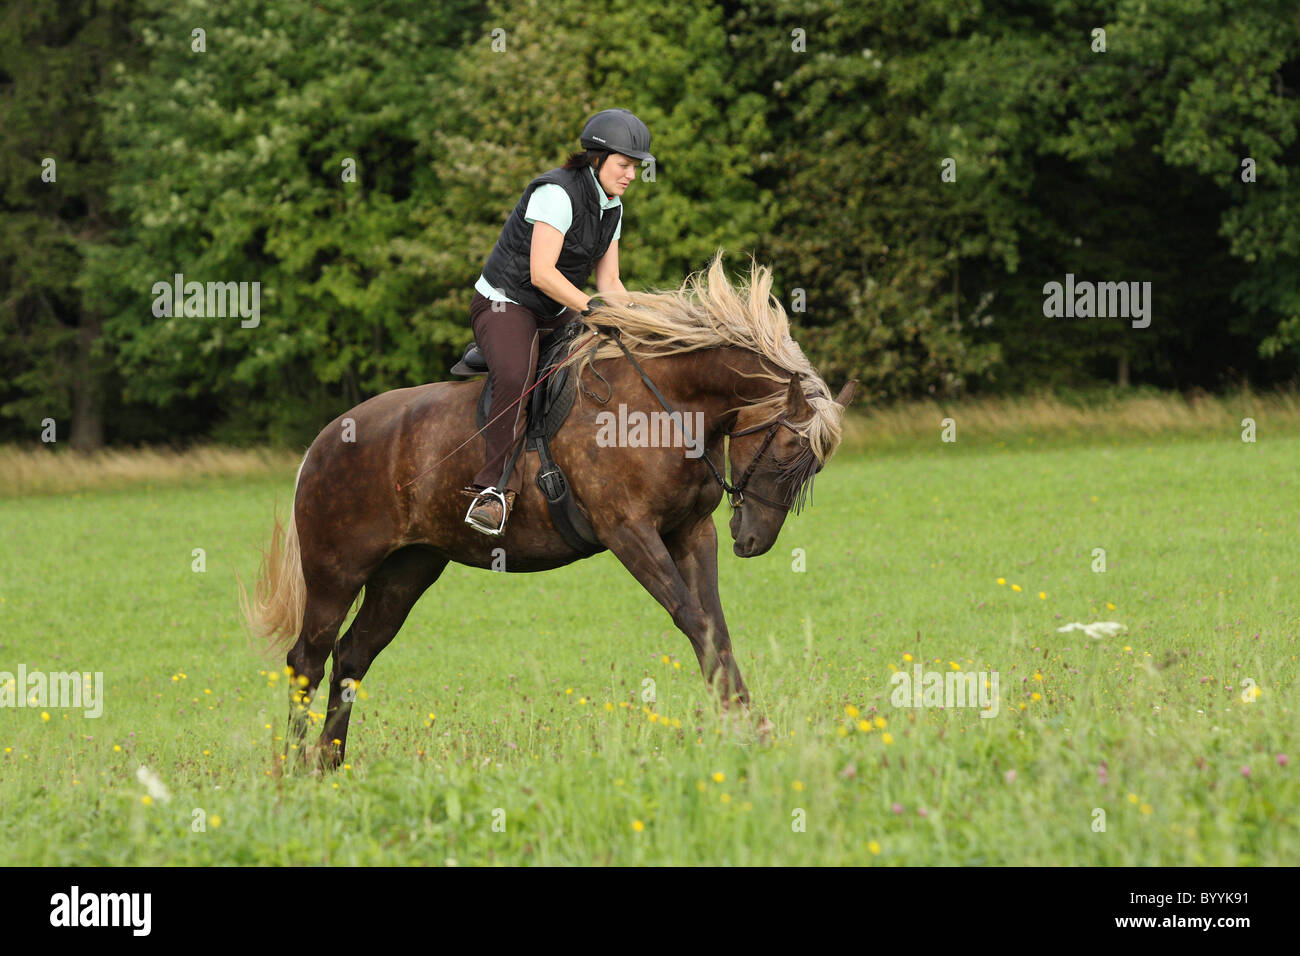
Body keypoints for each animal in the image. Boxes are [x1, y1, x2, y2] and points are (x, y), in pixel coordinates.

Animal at [241, 254, 856, 769]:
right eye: (786, 449)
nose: (754, 541)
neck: (665, 403)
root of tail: (324, 441)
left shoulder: (691, 531)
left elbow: (715, 630)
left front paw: (749, 727)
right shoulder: (629, 532)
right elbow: (693, 619)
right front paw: (746, 727)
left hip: (406, 571)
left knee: (352, 657)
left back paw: (329, 763)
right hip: (336, 572)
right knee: (307, 659)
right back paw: (293, 769)